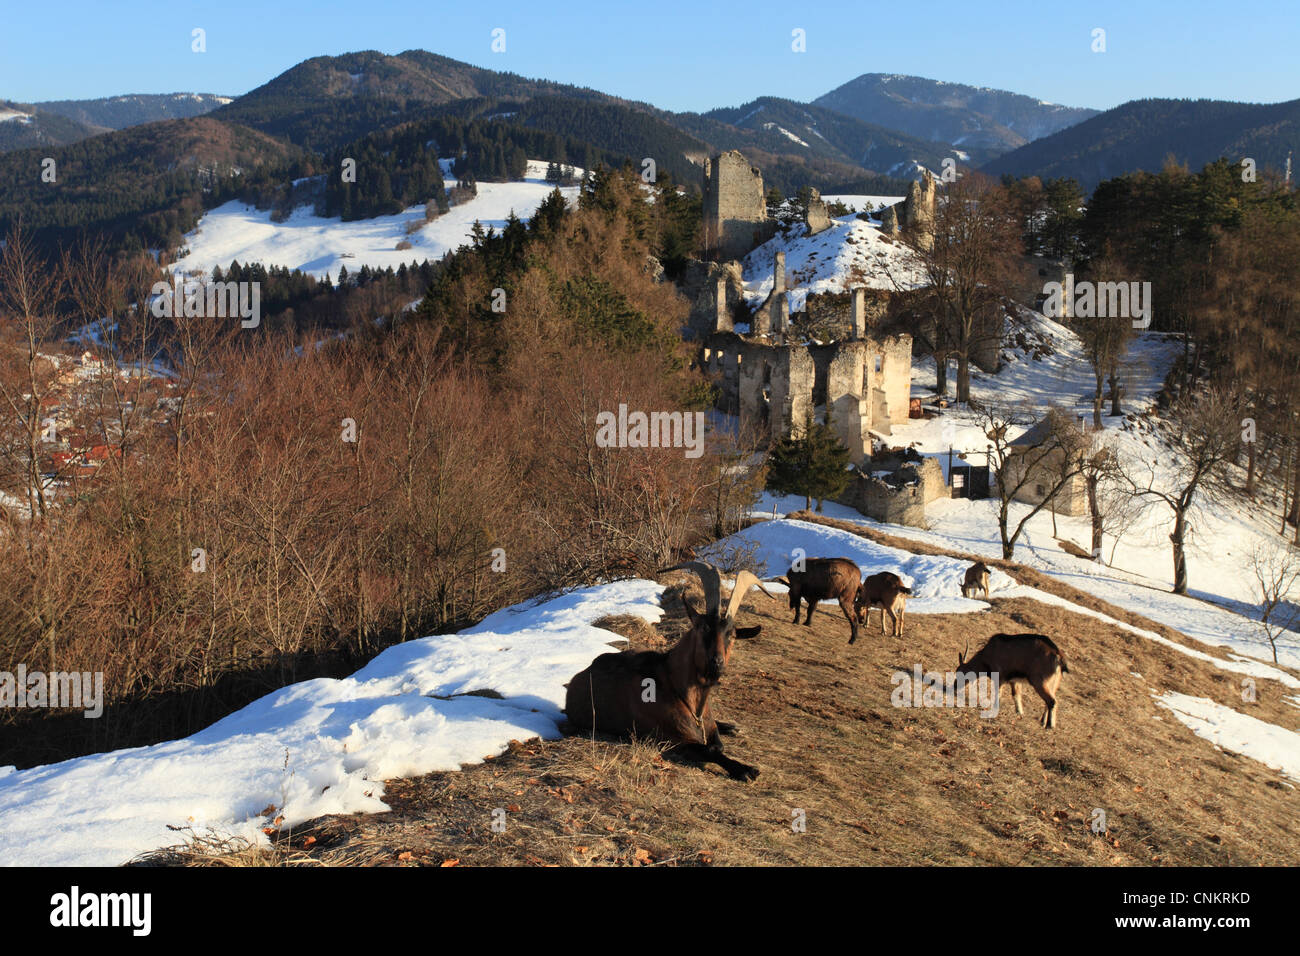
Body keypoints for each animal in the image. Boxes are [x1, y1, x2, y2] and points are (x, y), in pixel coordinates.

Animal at [564, 563, 769, 780]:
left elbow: (717, 743)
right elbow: (712, 750)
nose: (717, 662)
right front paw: (746, 769)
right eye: (703, 627)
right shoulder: (673, 740)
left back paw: (731, 726)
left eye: (733, 634)